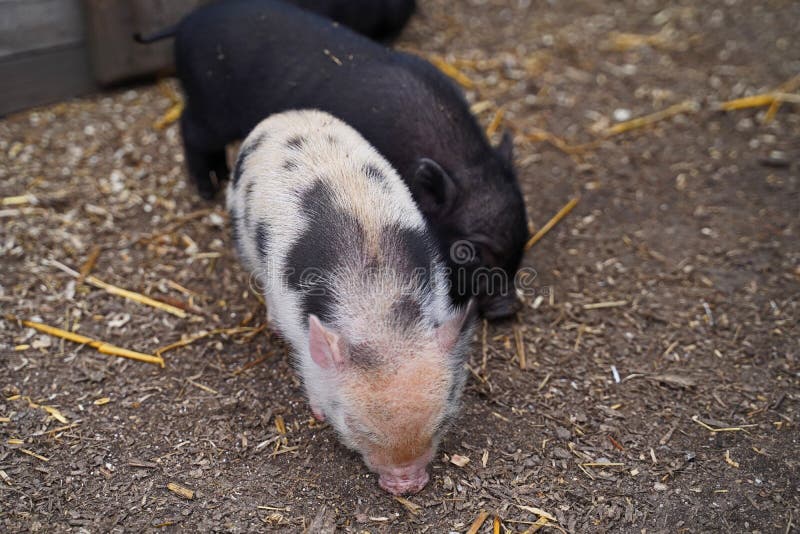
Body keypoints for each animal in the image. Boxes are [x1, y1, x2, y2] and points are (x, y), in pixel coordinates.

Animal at [138, 0, 529, 320]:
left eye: (523, 240)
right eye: (469, 251)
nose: (507, 309)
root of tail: (185, 23)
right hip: (210, 110)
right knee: (188, 128)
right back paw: (209, 187)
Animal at [227, 109, 475, 495]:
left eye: (441, 421)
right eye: (360, 428)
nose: (407, 484)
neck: (381, 311)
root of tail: (285, 116)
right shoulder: (305, 340)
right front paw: (317, 413)